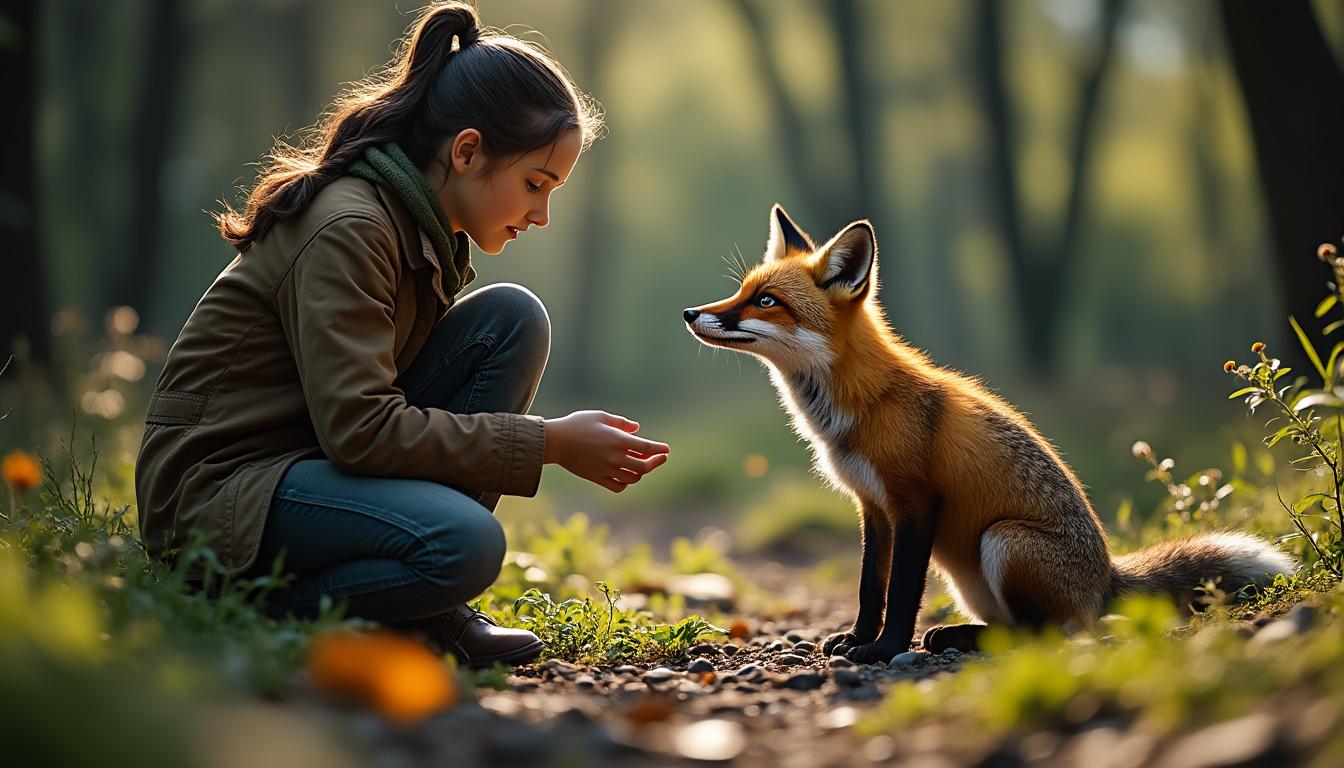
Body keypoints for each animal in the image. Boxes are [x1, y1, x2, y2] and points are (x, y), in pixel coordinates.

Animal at [683, 205, 1295, 664]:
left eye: (766, 301)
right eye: (742, 291)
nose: (690, 312)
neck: (859, 405)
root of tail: (1106, 579)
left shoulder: (916, 502)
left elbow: (901, 592)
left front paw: (884, 650)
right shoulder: (872, 508)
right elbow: (868, 587)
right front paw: (858, 639)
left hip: (1003, 540)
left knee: (1046, 634)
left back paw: (961, 639)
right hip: (972, 576)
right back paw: (960, 635)